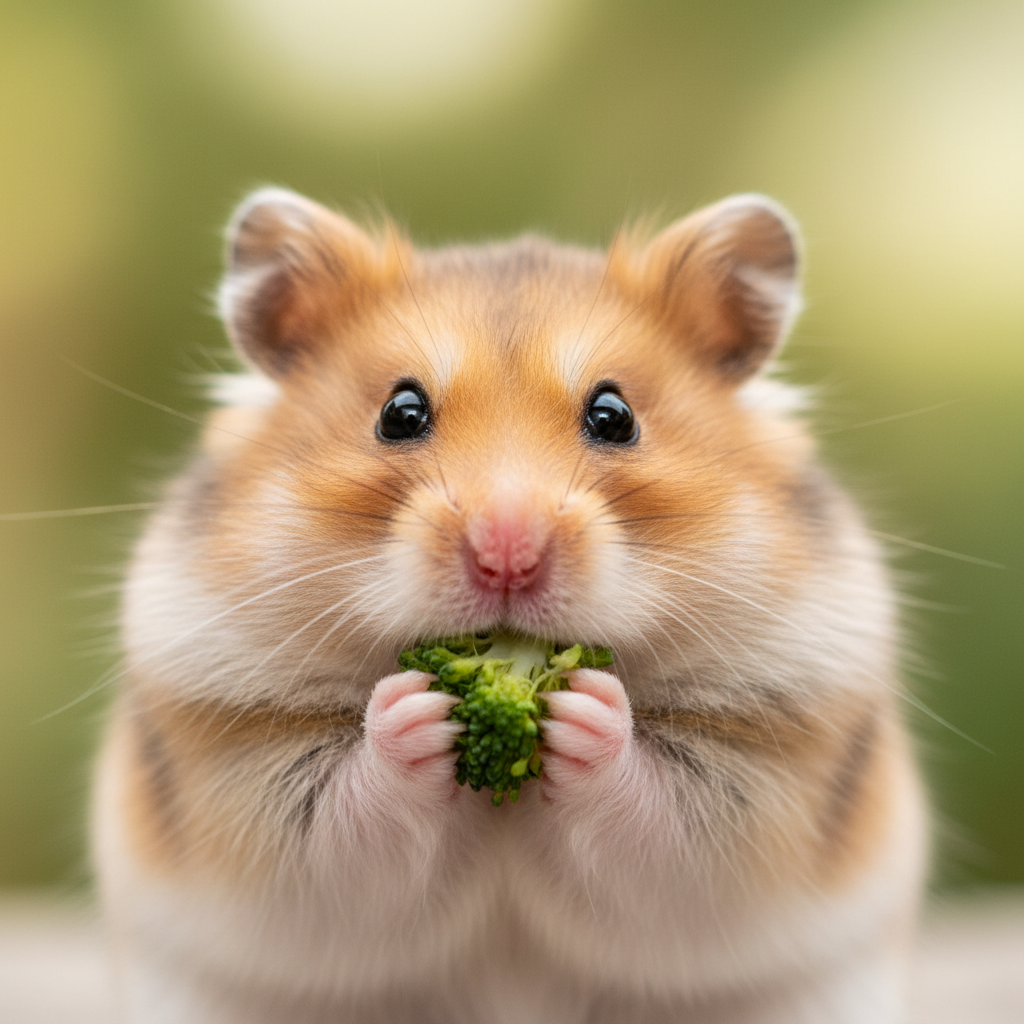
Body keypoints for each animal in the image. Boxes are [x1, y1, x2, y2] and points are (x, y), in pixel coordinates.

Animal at [92, 188, 927, 1023]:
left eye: (614, 416)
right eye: (399, 413)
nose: (506, 554)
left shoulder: (757, 780)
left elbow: (660, 829)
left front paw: (587, 709)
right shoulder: (247, 777)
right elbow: (343, 830)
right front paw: (413, 709)